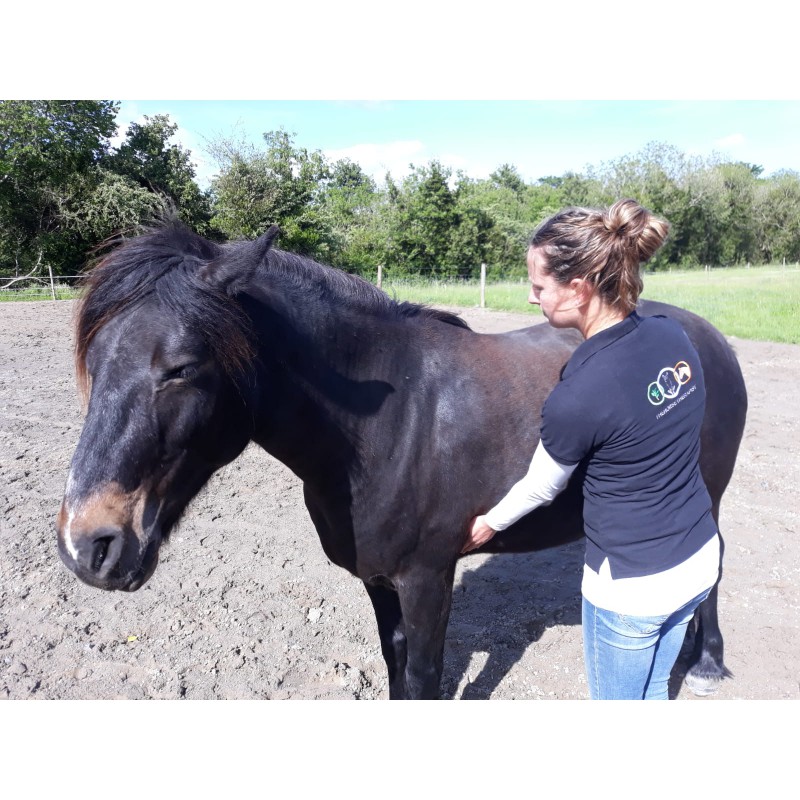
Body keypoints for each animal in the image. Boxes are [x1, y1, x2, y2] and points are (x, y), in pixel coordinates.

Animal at [56, 221, 747, 699]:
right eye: (93, 359)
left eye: (180, 368)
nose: (86, 545)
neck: (387, 427)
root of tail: (705, 336)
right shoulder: (379, 577)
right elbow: (395, 663)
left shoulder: (427, 578)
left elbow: (423, 675)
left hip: (710, 494)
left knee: (709, 565)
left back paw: (708, 662)